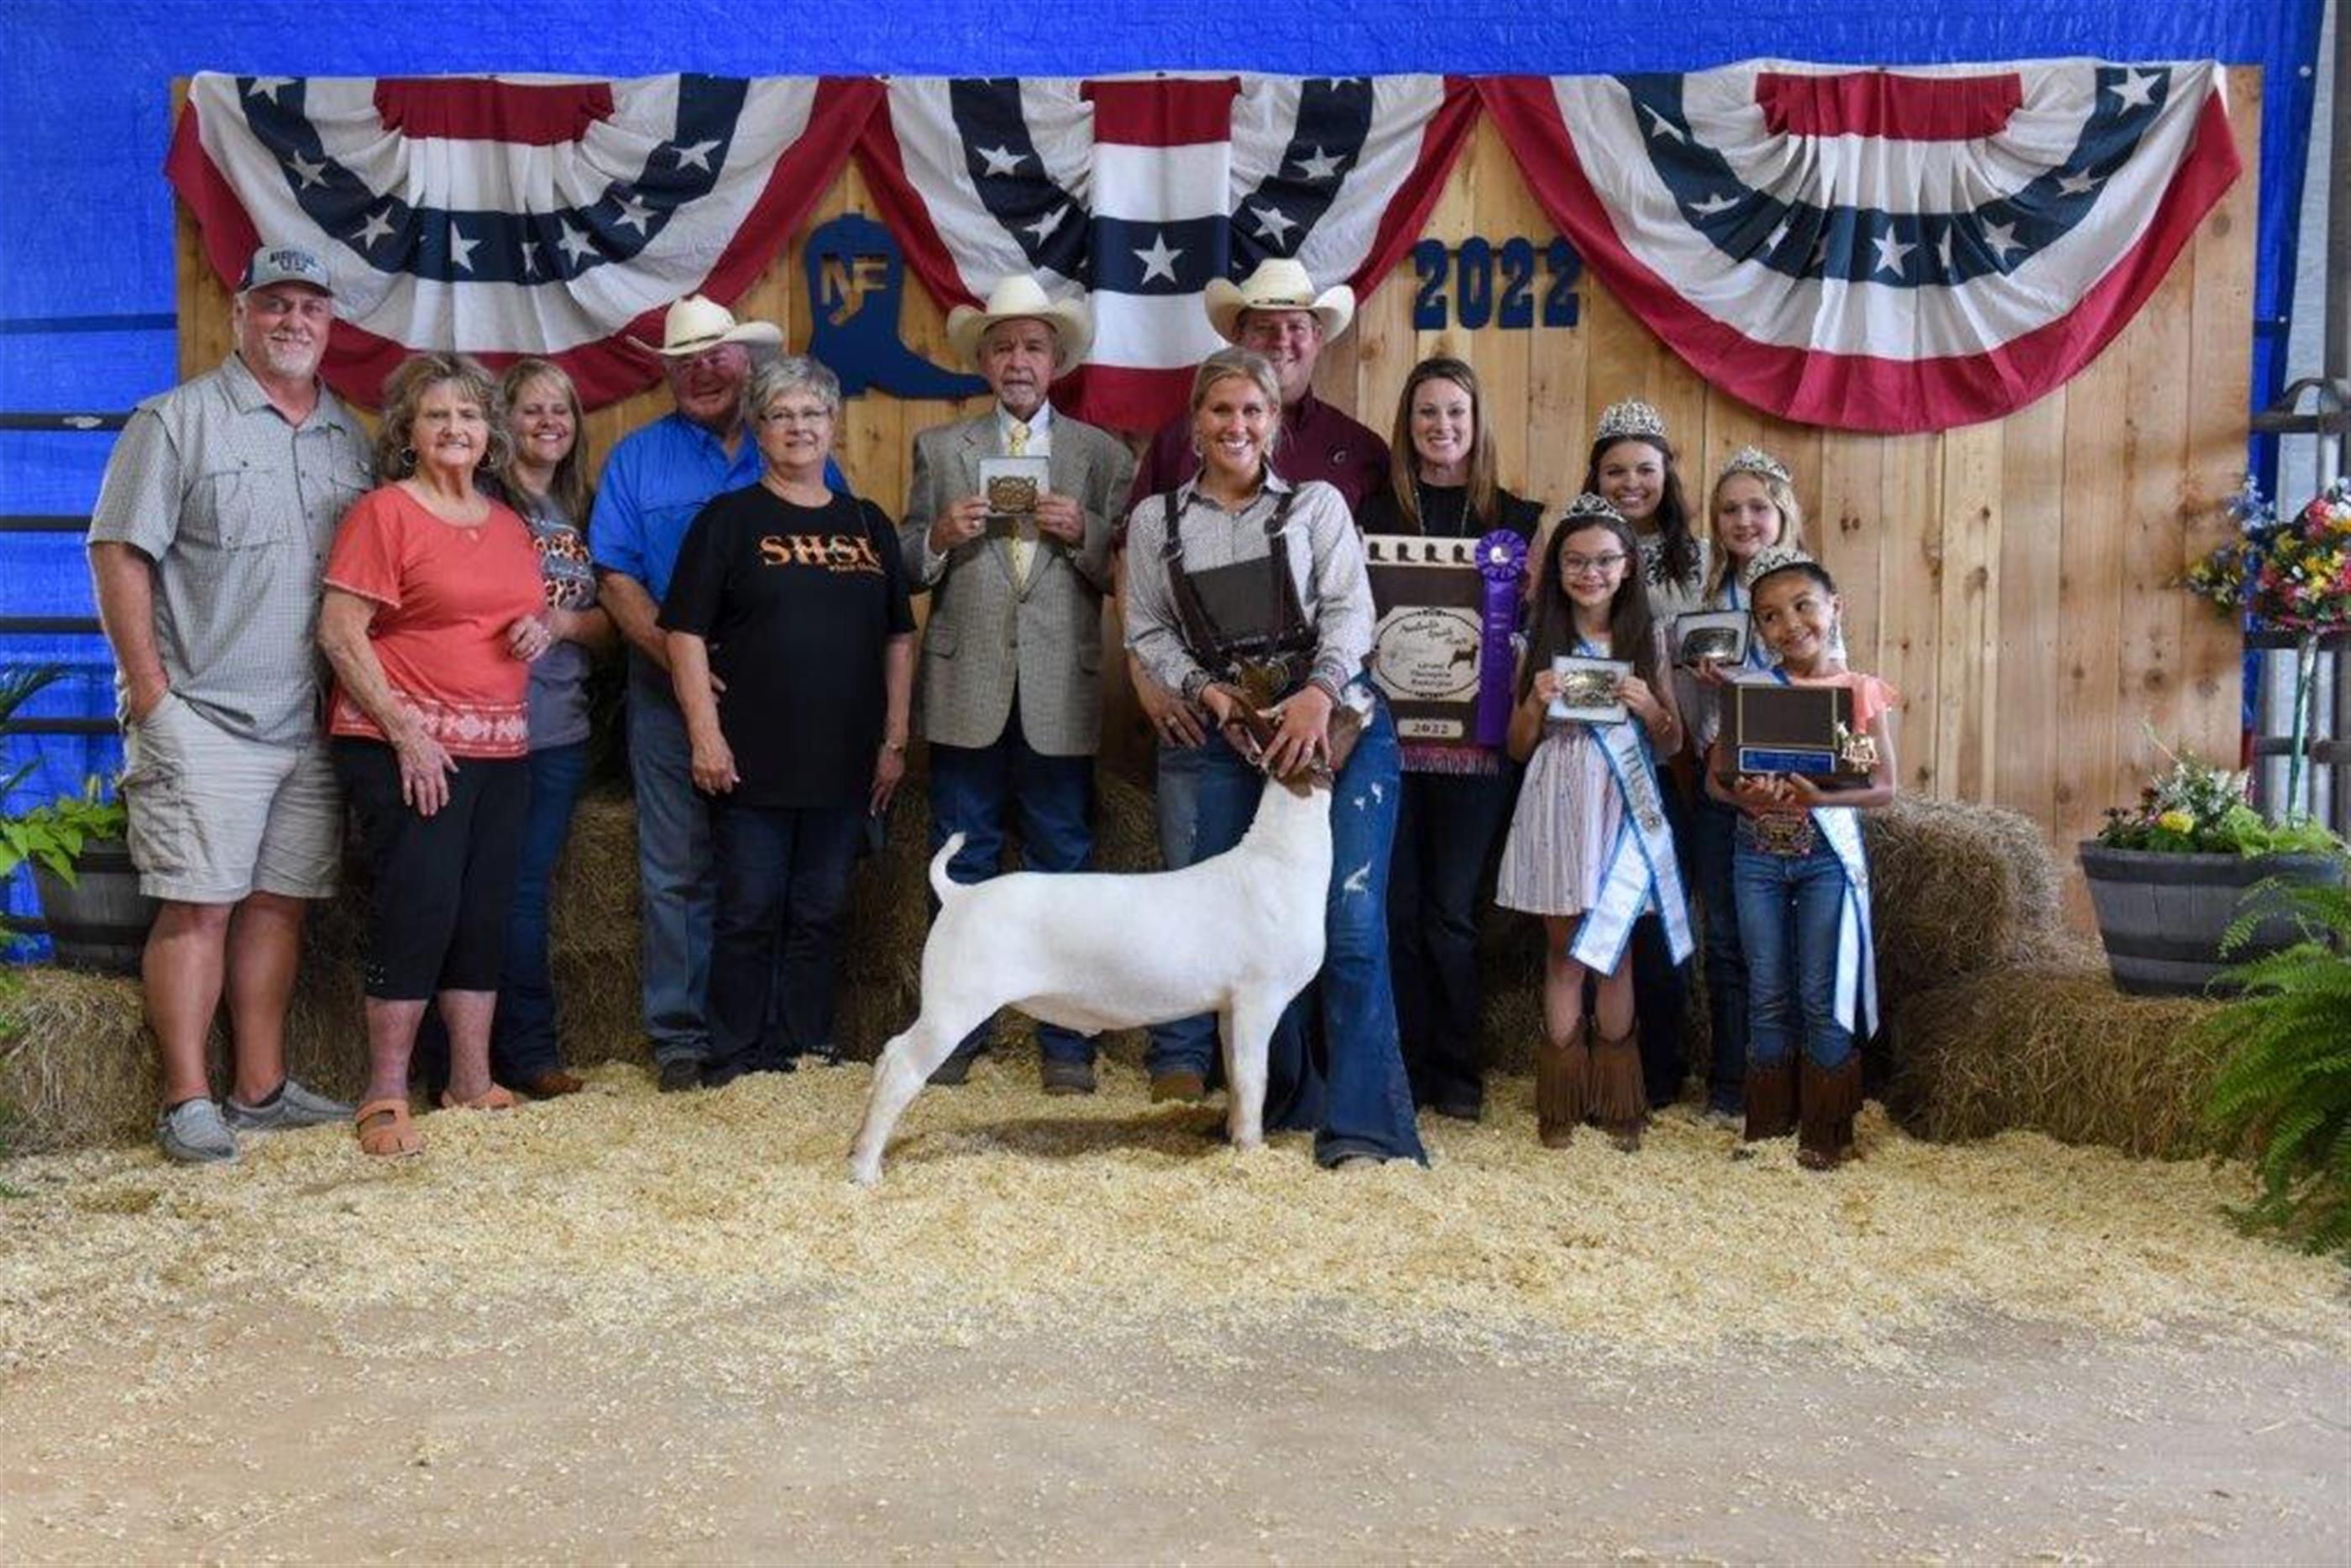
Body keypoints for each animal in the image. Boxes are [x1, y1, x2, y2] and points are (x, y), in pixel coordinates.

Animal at [848, 707, 1360, 1185]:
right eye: (1334, 718)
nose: (1359, 699)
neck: (1277, 862)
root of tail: (959, 894)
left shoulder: (1231, 1005)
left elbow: (1236, 1075)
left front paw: (1235, 1138)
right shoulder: (1260, 996)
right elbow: (1255, 1076)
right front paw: (1254, 1151)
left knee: (890, 1053)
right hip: (957, 999)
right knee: (904, 1065)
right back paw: (866, 1170)